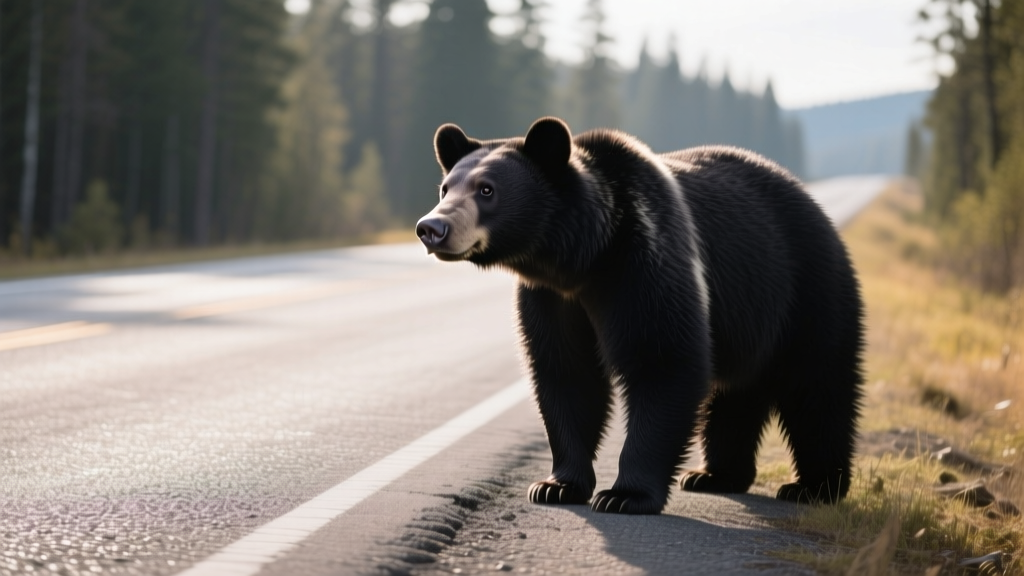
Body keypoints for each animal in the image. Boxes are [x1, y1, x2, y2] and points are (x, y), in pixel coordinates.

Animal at [416, 117, 864, 515]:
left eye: (486, 190)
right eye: (445, 187)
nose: (431, 227)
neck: (583, 257)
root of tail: (810, 200)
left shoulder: (643, 261)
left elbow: (661, 361)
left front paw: (624, 495)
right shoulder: (551, 298)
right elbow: (566, 372)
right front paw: (556, 485)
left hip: (806, 287)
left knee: (818, 385)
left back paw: (814, 486)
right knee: (738, 393)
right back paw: (715, 475)